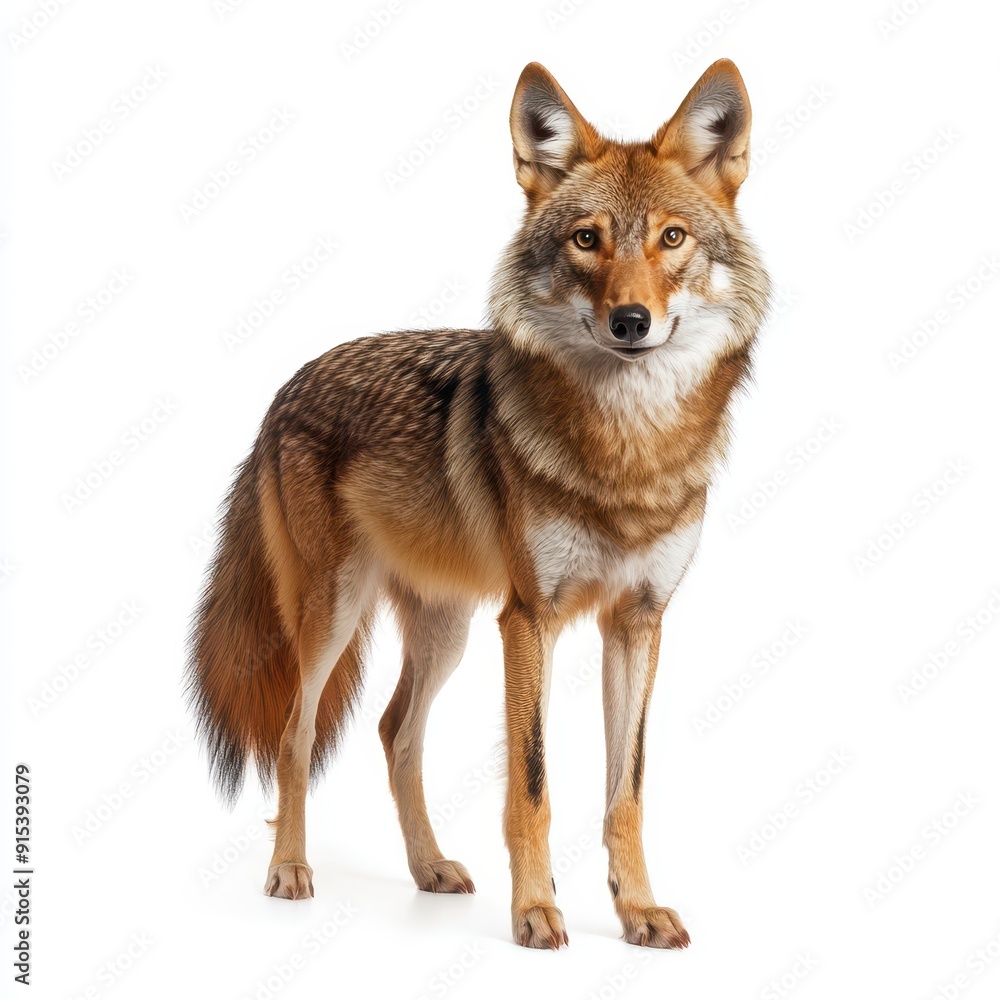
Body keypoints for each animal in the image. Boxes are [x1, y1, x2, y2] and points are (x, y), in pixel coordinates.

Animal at [187, 58, 770, 950]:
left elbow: (626, 791)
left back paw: (428, 868)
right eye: (587, 239)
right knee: (296, 735)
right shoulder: (529, 618)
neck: (629, 454)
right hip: (335, 616)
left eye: (671, 239)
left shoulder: (638, 622)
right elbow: (531, 786)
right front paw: (534, 909)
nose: (631, 321)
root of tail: (287, 387)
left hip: (447, 628)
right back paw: (289, 871)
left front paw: (636, 910)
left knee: (395, 733)